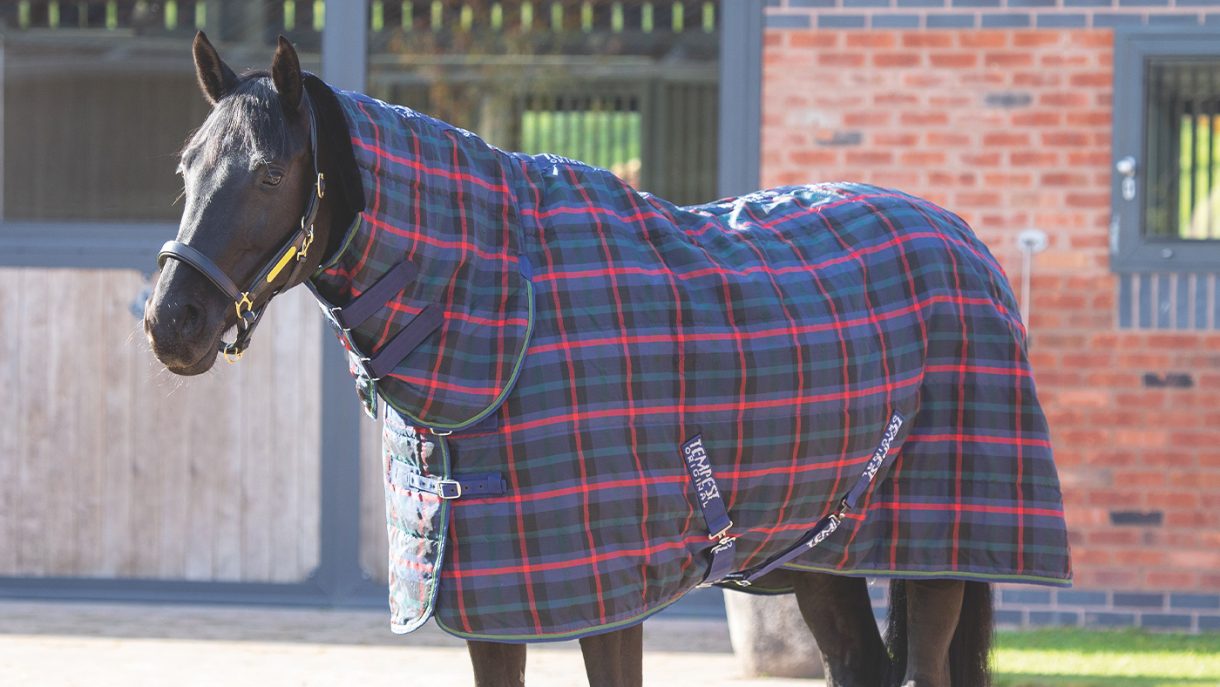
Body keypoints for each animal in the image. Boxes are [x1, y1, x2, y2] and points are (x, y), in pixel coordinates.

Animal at [144, 33, 1071, 687]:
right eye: (185, 166)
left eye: (270, 175)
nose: (170, 322)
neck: (506, 316)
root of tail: (968, 242)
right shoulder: (492, 604)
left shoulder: (607, 598)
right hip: (825, 555)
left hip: (941, 551)